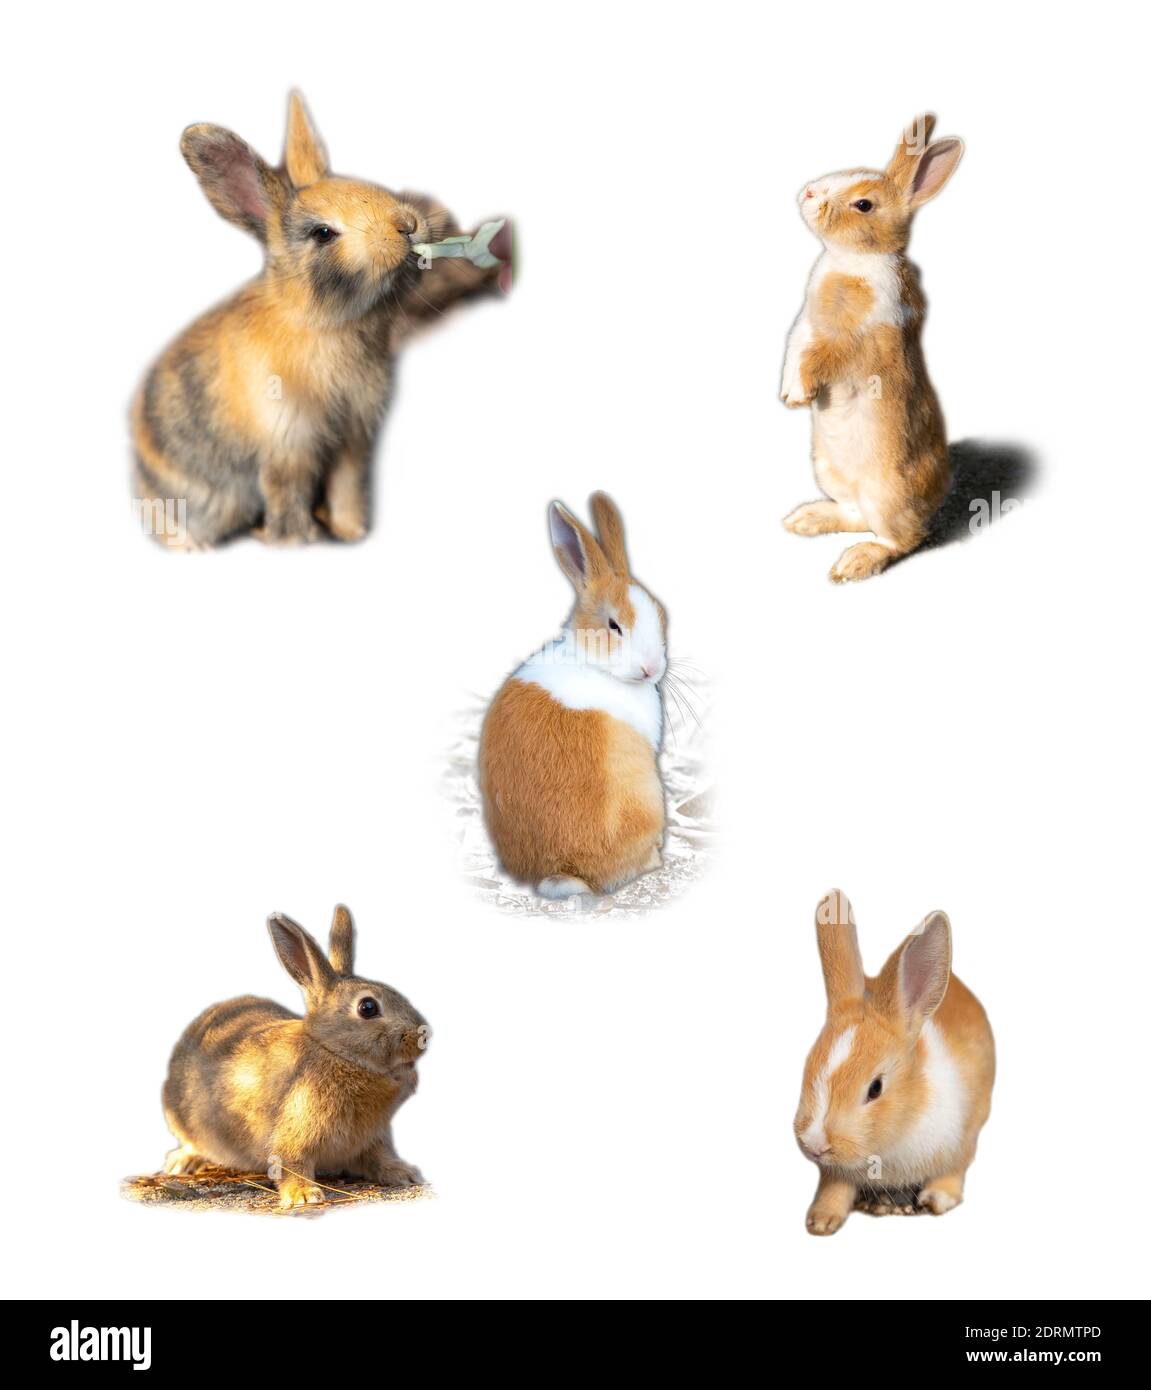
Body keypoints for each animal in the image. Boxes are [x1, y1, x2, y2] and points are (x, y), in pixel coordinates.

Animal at [132, 91, 509, 549]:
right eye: (323, 234)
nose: (407, 224)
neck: (325, 324)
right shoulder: (288, 446)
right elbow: (287, 495)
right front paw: (295, 542)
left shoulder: (352, 439)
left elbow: (346, 486)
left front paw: (351, 531)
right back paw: (192, 547)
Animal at [163, 905, 429, 1208]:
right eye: (368, 1007)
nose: (423, 1034)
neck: (334, 1052)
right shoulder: (294, 1133)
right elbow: (293, 1164)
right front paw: (304, 1195)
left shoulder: (372, 1138)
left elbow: (379, 1157)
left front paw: (404, 1173)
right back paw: (183, 1163)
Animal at [780, 113, 964, 582]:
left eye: (863, 204)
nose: (810, 192)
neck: (854, 259)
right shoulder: (803, 324)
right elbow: (795, 348)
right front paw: (788, 393)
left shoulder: (863, 338)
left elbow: (824, 356)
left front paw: (798, 394)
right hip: (830, 471)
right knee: (853, 514)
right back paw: (806, 518)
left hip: (888, 493)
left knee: (901, 539)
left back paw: (854, 562)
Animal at [794, 890, 994, 1236]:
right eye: (808, 1065)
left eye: (875, 1088)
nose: (815, 1144)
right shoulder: (836, 1172)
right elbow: (835, 1187)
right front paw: (821, 1220)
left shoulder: (962, 1137)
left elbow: (955, 1169)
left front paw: (937, 1198)